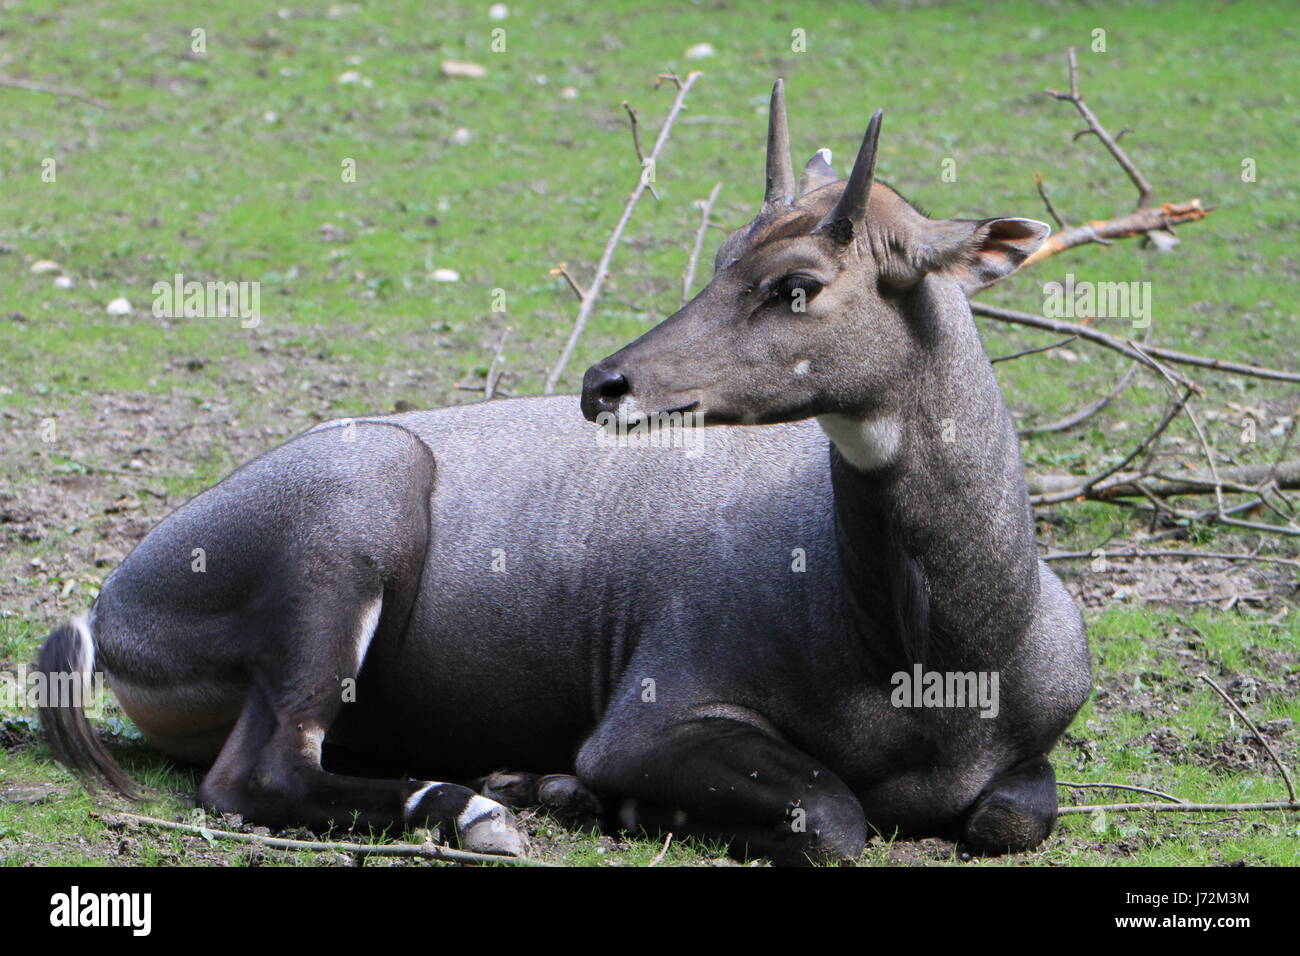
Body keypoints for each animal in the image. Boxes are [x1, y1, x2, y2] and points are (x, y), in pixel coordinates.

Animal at [37, 81, 1090, 864]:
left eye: (798, 284)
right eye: (721, 256)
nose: (605, 384)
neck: (930, 654)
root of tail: (111, 606)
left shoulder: (1026, 761)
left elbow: (1014, 815)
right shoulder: (652, 724)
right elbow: (834, 818)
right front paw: (589, 796)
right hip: (356, 515)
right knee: (258, 776)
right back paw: (479, 809)